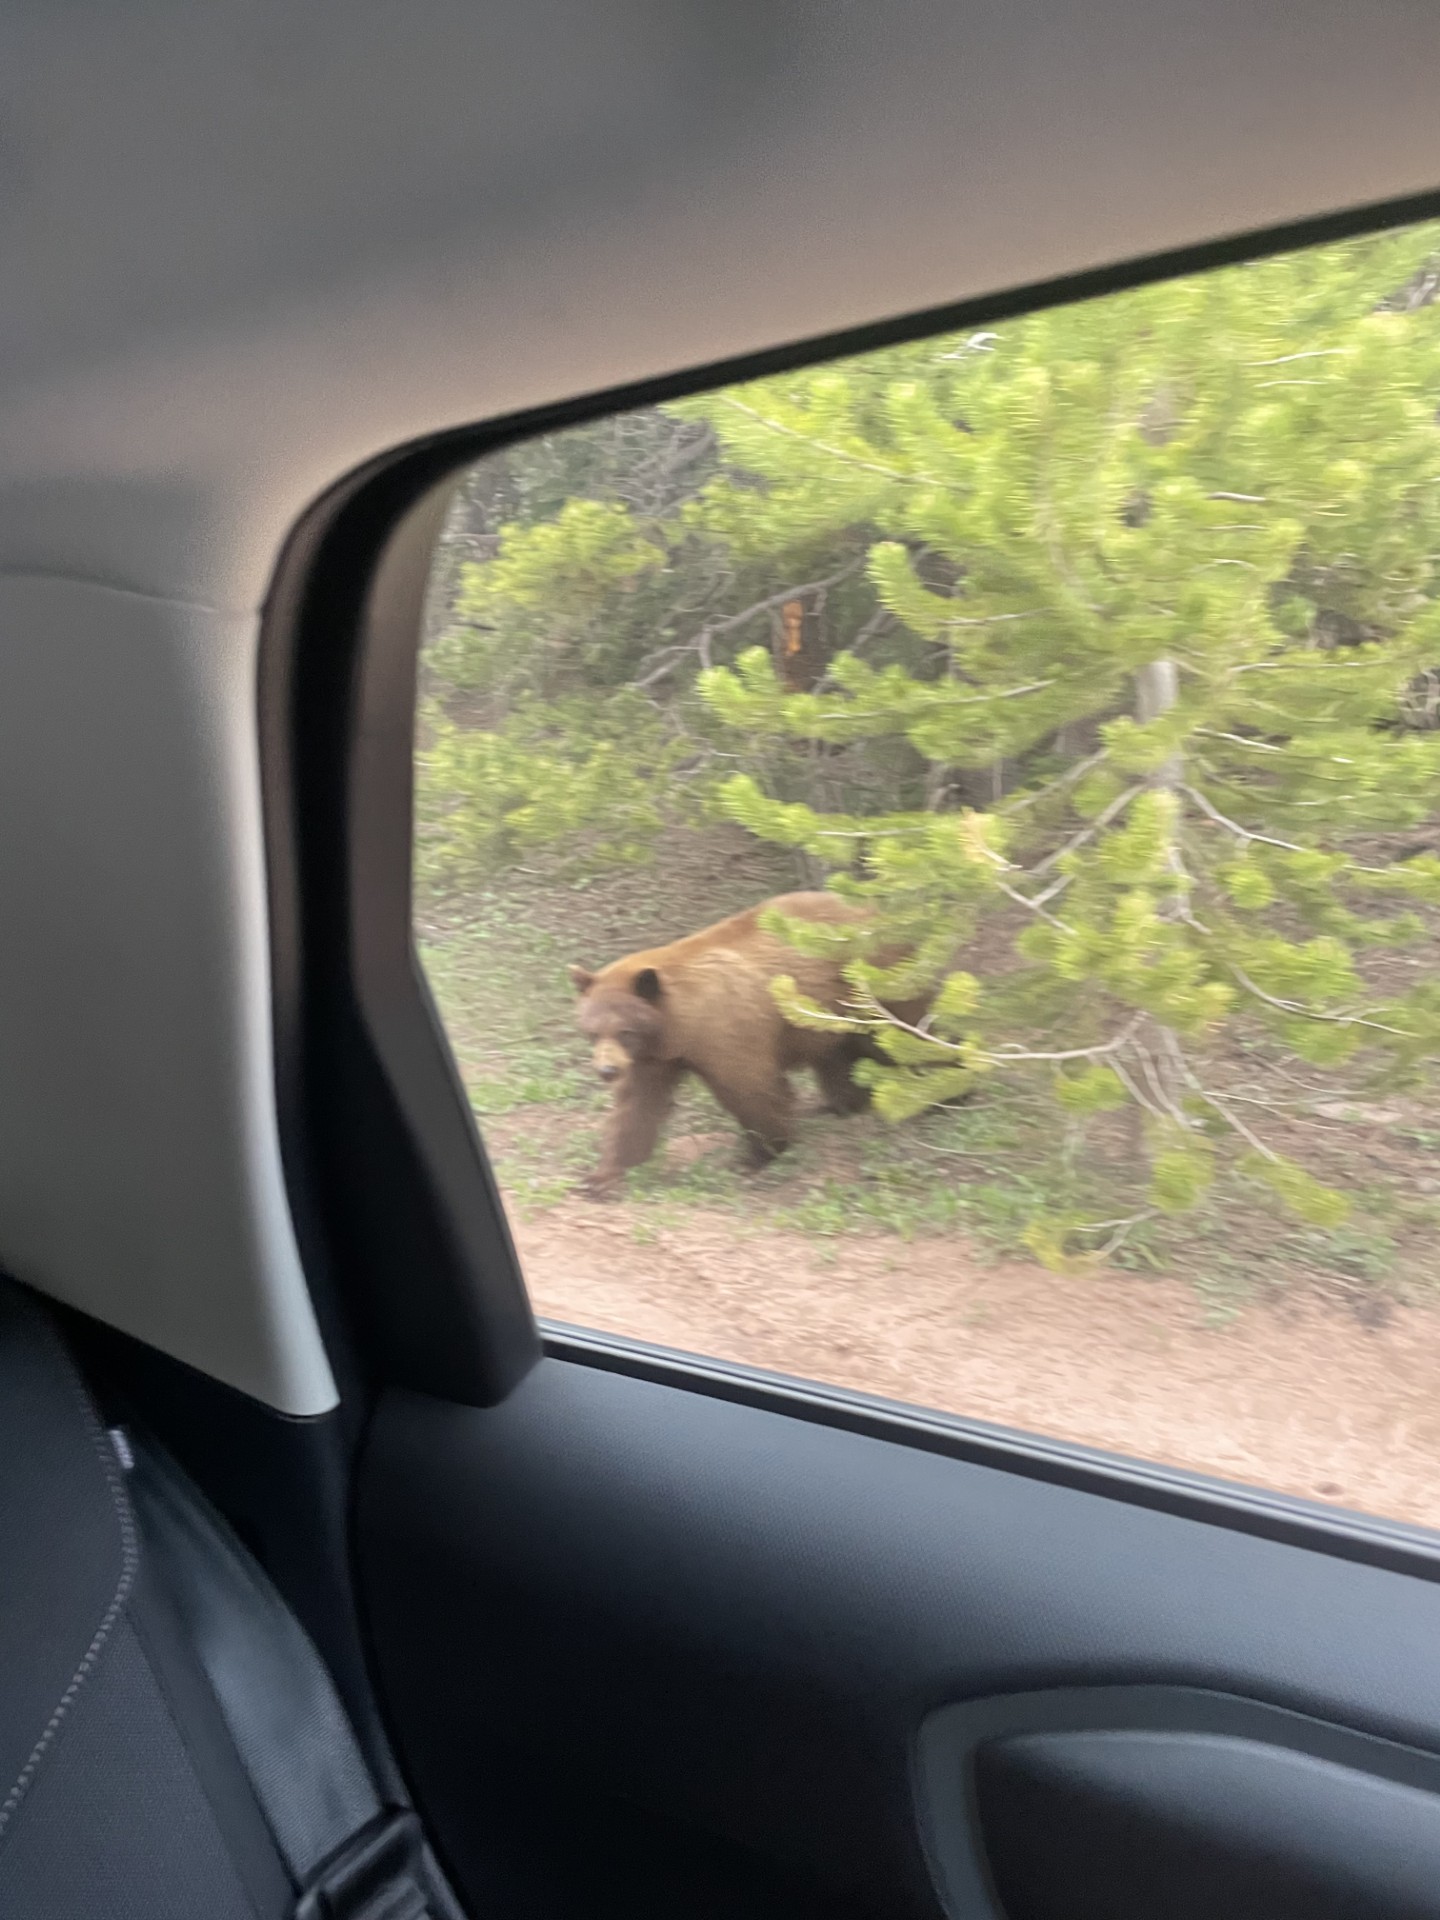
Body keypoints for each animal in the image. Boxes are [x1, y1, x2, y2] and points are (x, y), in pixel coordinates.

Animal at [568, 891, 932, 1197]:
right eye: (593, 1032)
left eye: (625, 1032)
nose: (607, 1070)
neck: (679, 1022)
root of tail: (882, 911)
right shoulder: (653, 1058)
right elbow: (637, 1106)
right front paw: (601, 1176)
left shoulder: (725, 1030)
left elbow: (752, 1088)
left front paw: (758, 1153)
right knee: (838, 1054)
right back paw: (842, 1103)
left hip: (875, 981)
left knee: (906, 1030)